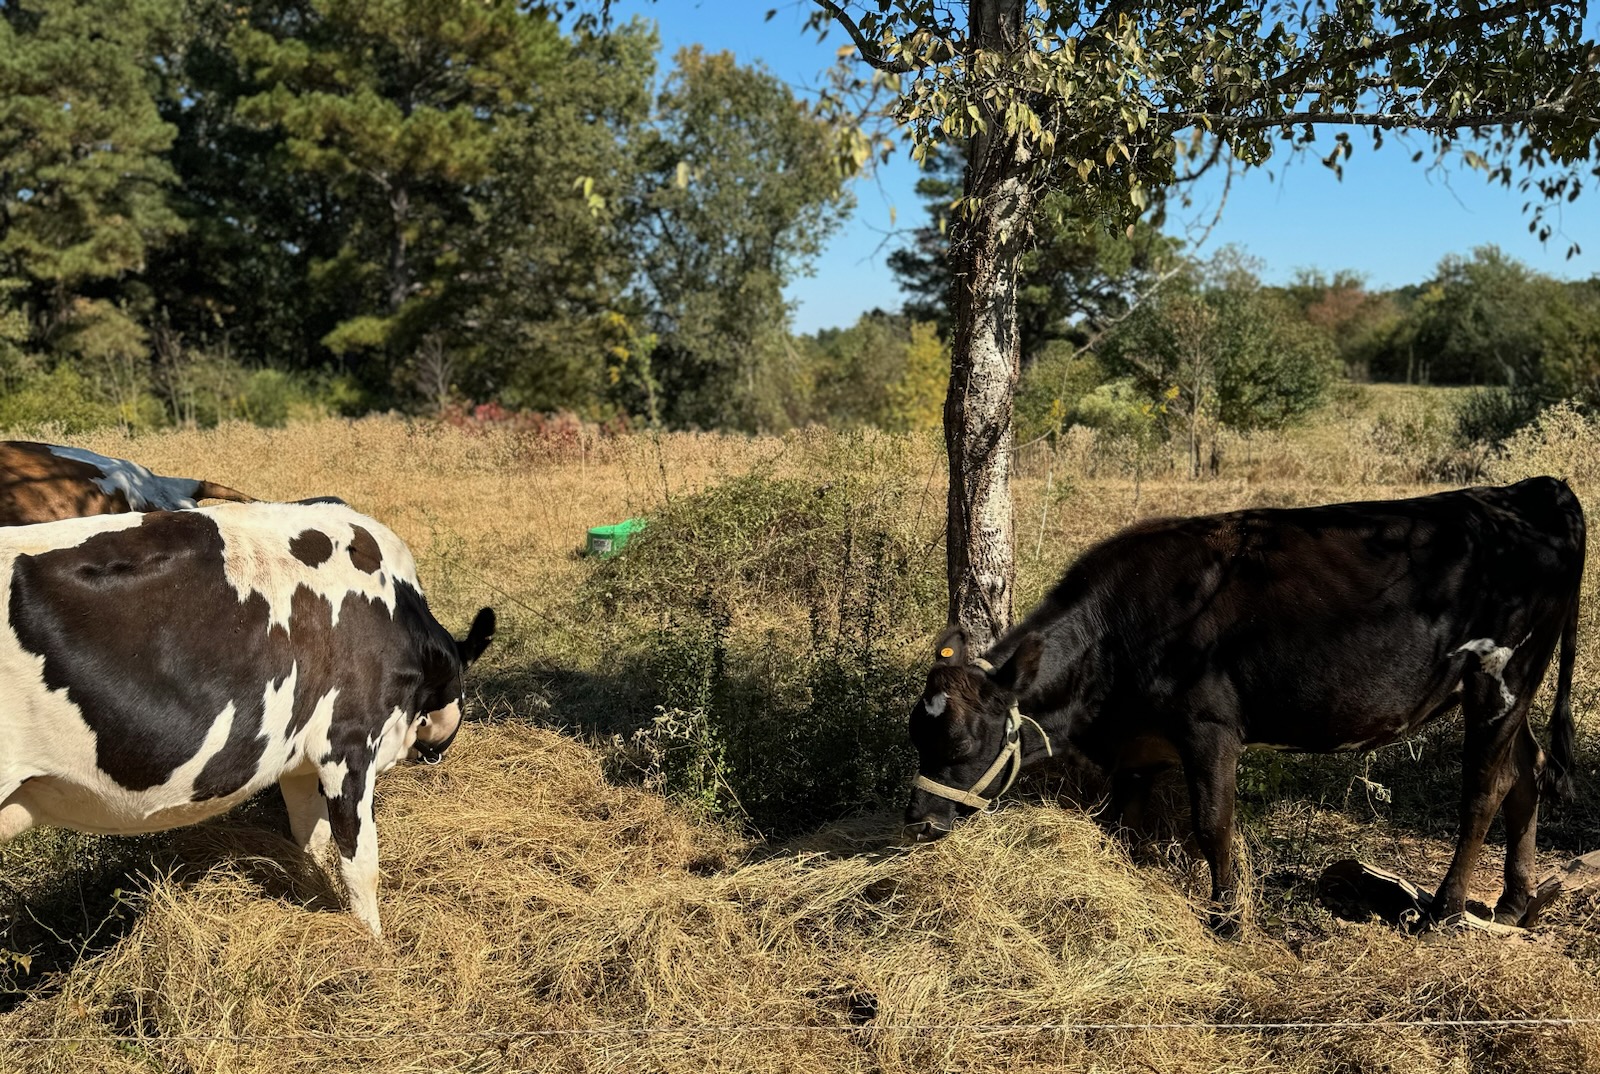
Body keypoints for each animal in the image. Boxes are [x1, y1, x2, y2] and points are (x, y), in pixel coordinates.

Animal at [0, 501, 496, 937]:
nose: (434, 749)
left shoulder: (299, 759)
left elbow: (310, 840)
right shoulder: (348, 741)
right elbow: (360, 864)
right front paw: (374, 945)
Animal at [905, 477, 1584, 933]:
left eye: (961, 741)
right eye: (916, 735)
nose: (918, 820)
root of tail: (1528, 491)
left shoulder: (1209, 728)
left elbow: (1213, 824)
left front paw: (1227, 918)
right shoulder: (1137, 746)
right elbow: (1117, 824)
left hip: (1499, 676)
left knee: (1485, 788)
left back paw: (1443, 911)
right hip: (1515, 685)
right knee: (1526, 769)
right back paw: (1515, 903)